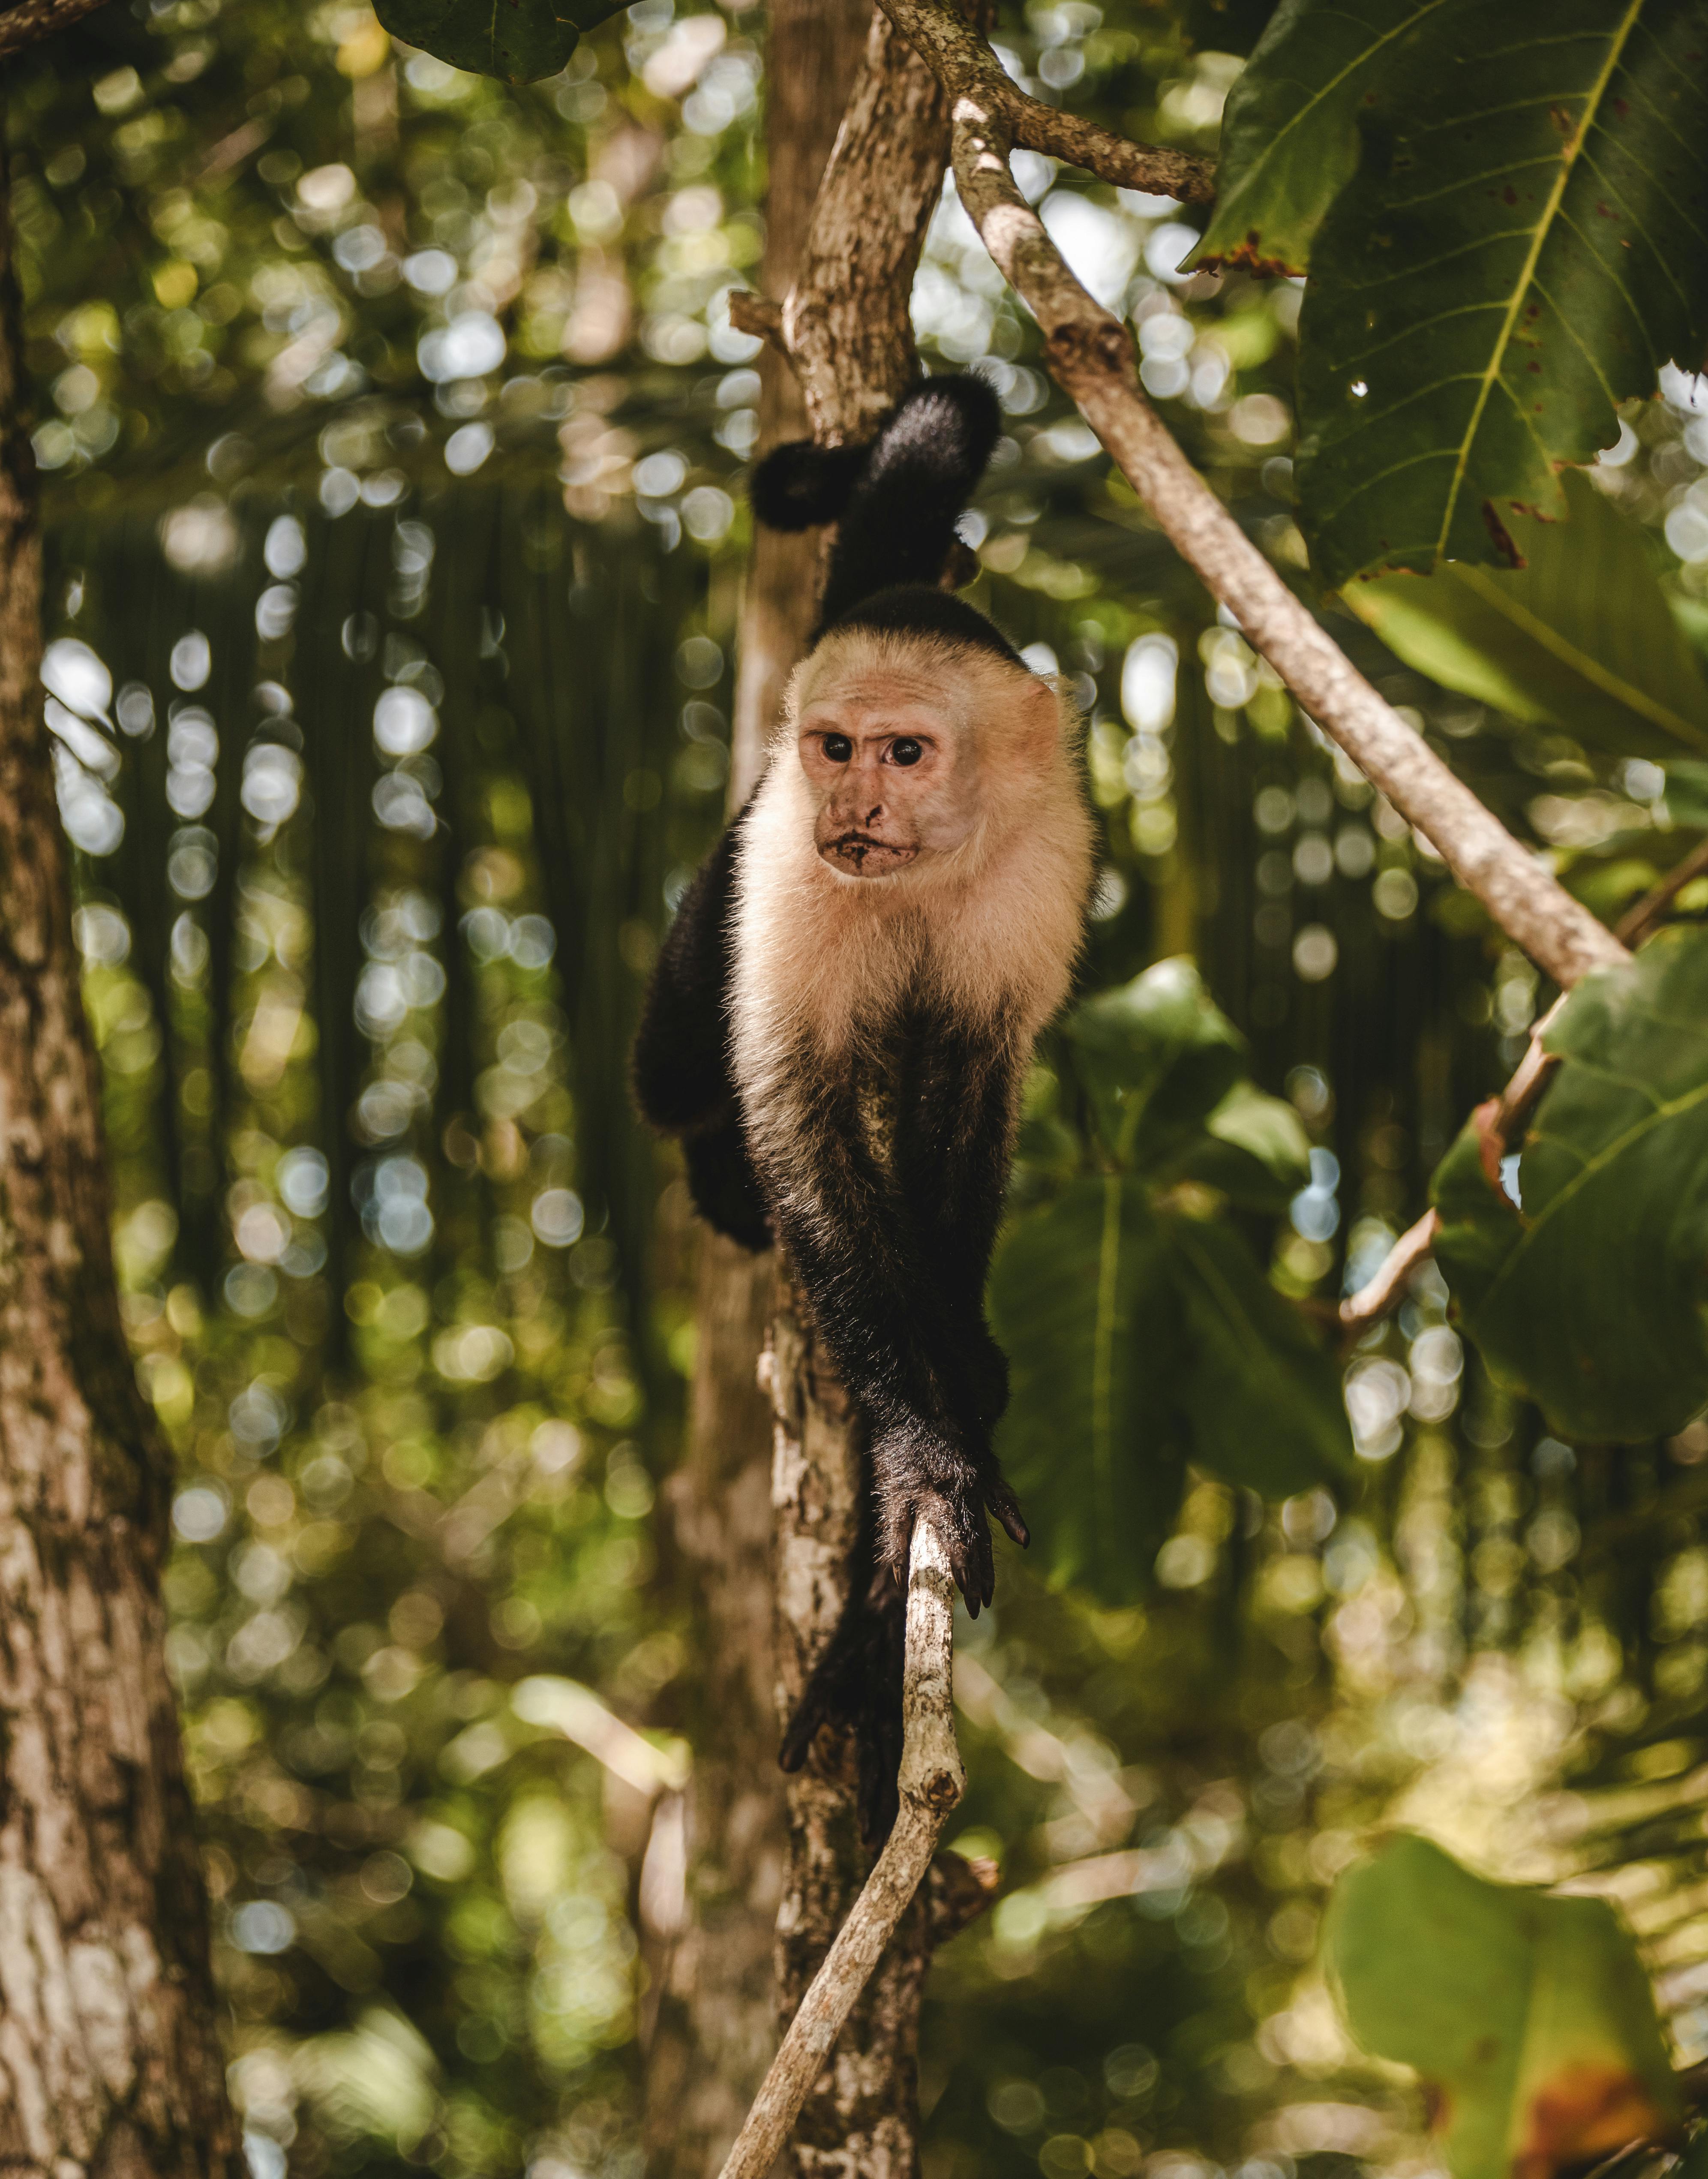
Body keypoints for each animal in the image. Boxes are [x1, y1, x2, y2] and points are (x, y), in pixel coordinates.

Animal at [632, 376, 1094, 1837]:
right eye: (839, 748)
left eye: (906, 749)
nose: (856, 803)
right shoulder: (786, 860)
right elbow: (802, 1133)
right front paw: (919, 1452)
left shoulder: (1042, 861)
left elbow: (970, 1100)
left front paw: (960, 1364)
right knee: (675, 1066)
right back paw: (709, 1165)